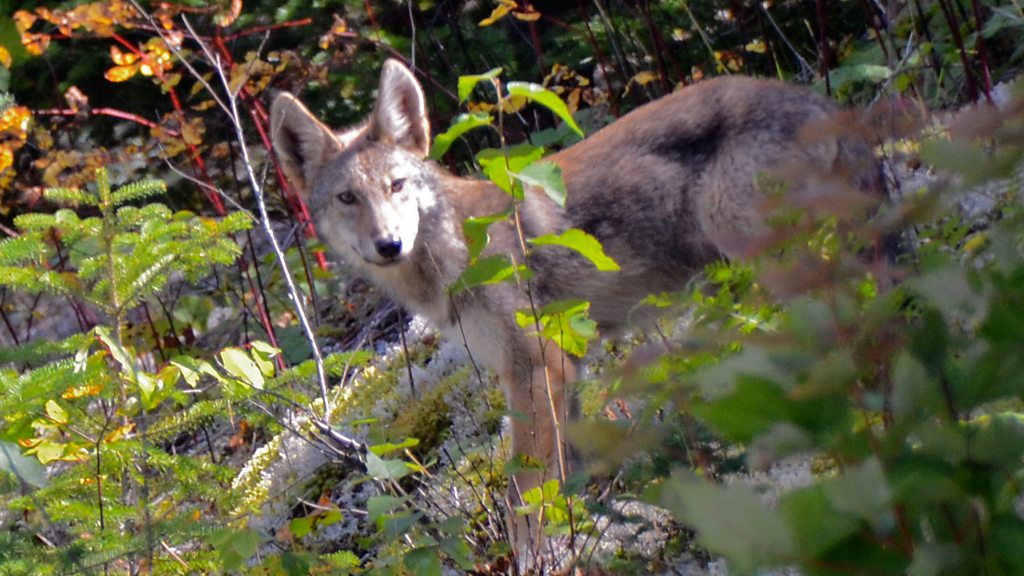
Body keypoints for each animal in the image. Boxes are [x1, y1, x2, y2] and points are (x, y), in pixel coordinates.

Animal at [270, 59, 877, 544]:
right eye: (348, 198)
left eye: (396, 185)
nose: (389, 244)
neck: (455, 254)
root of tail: (819, 101)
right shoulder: (563, 370)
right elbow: (568, 484)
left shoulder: (538, 368)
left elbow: (525, 501)